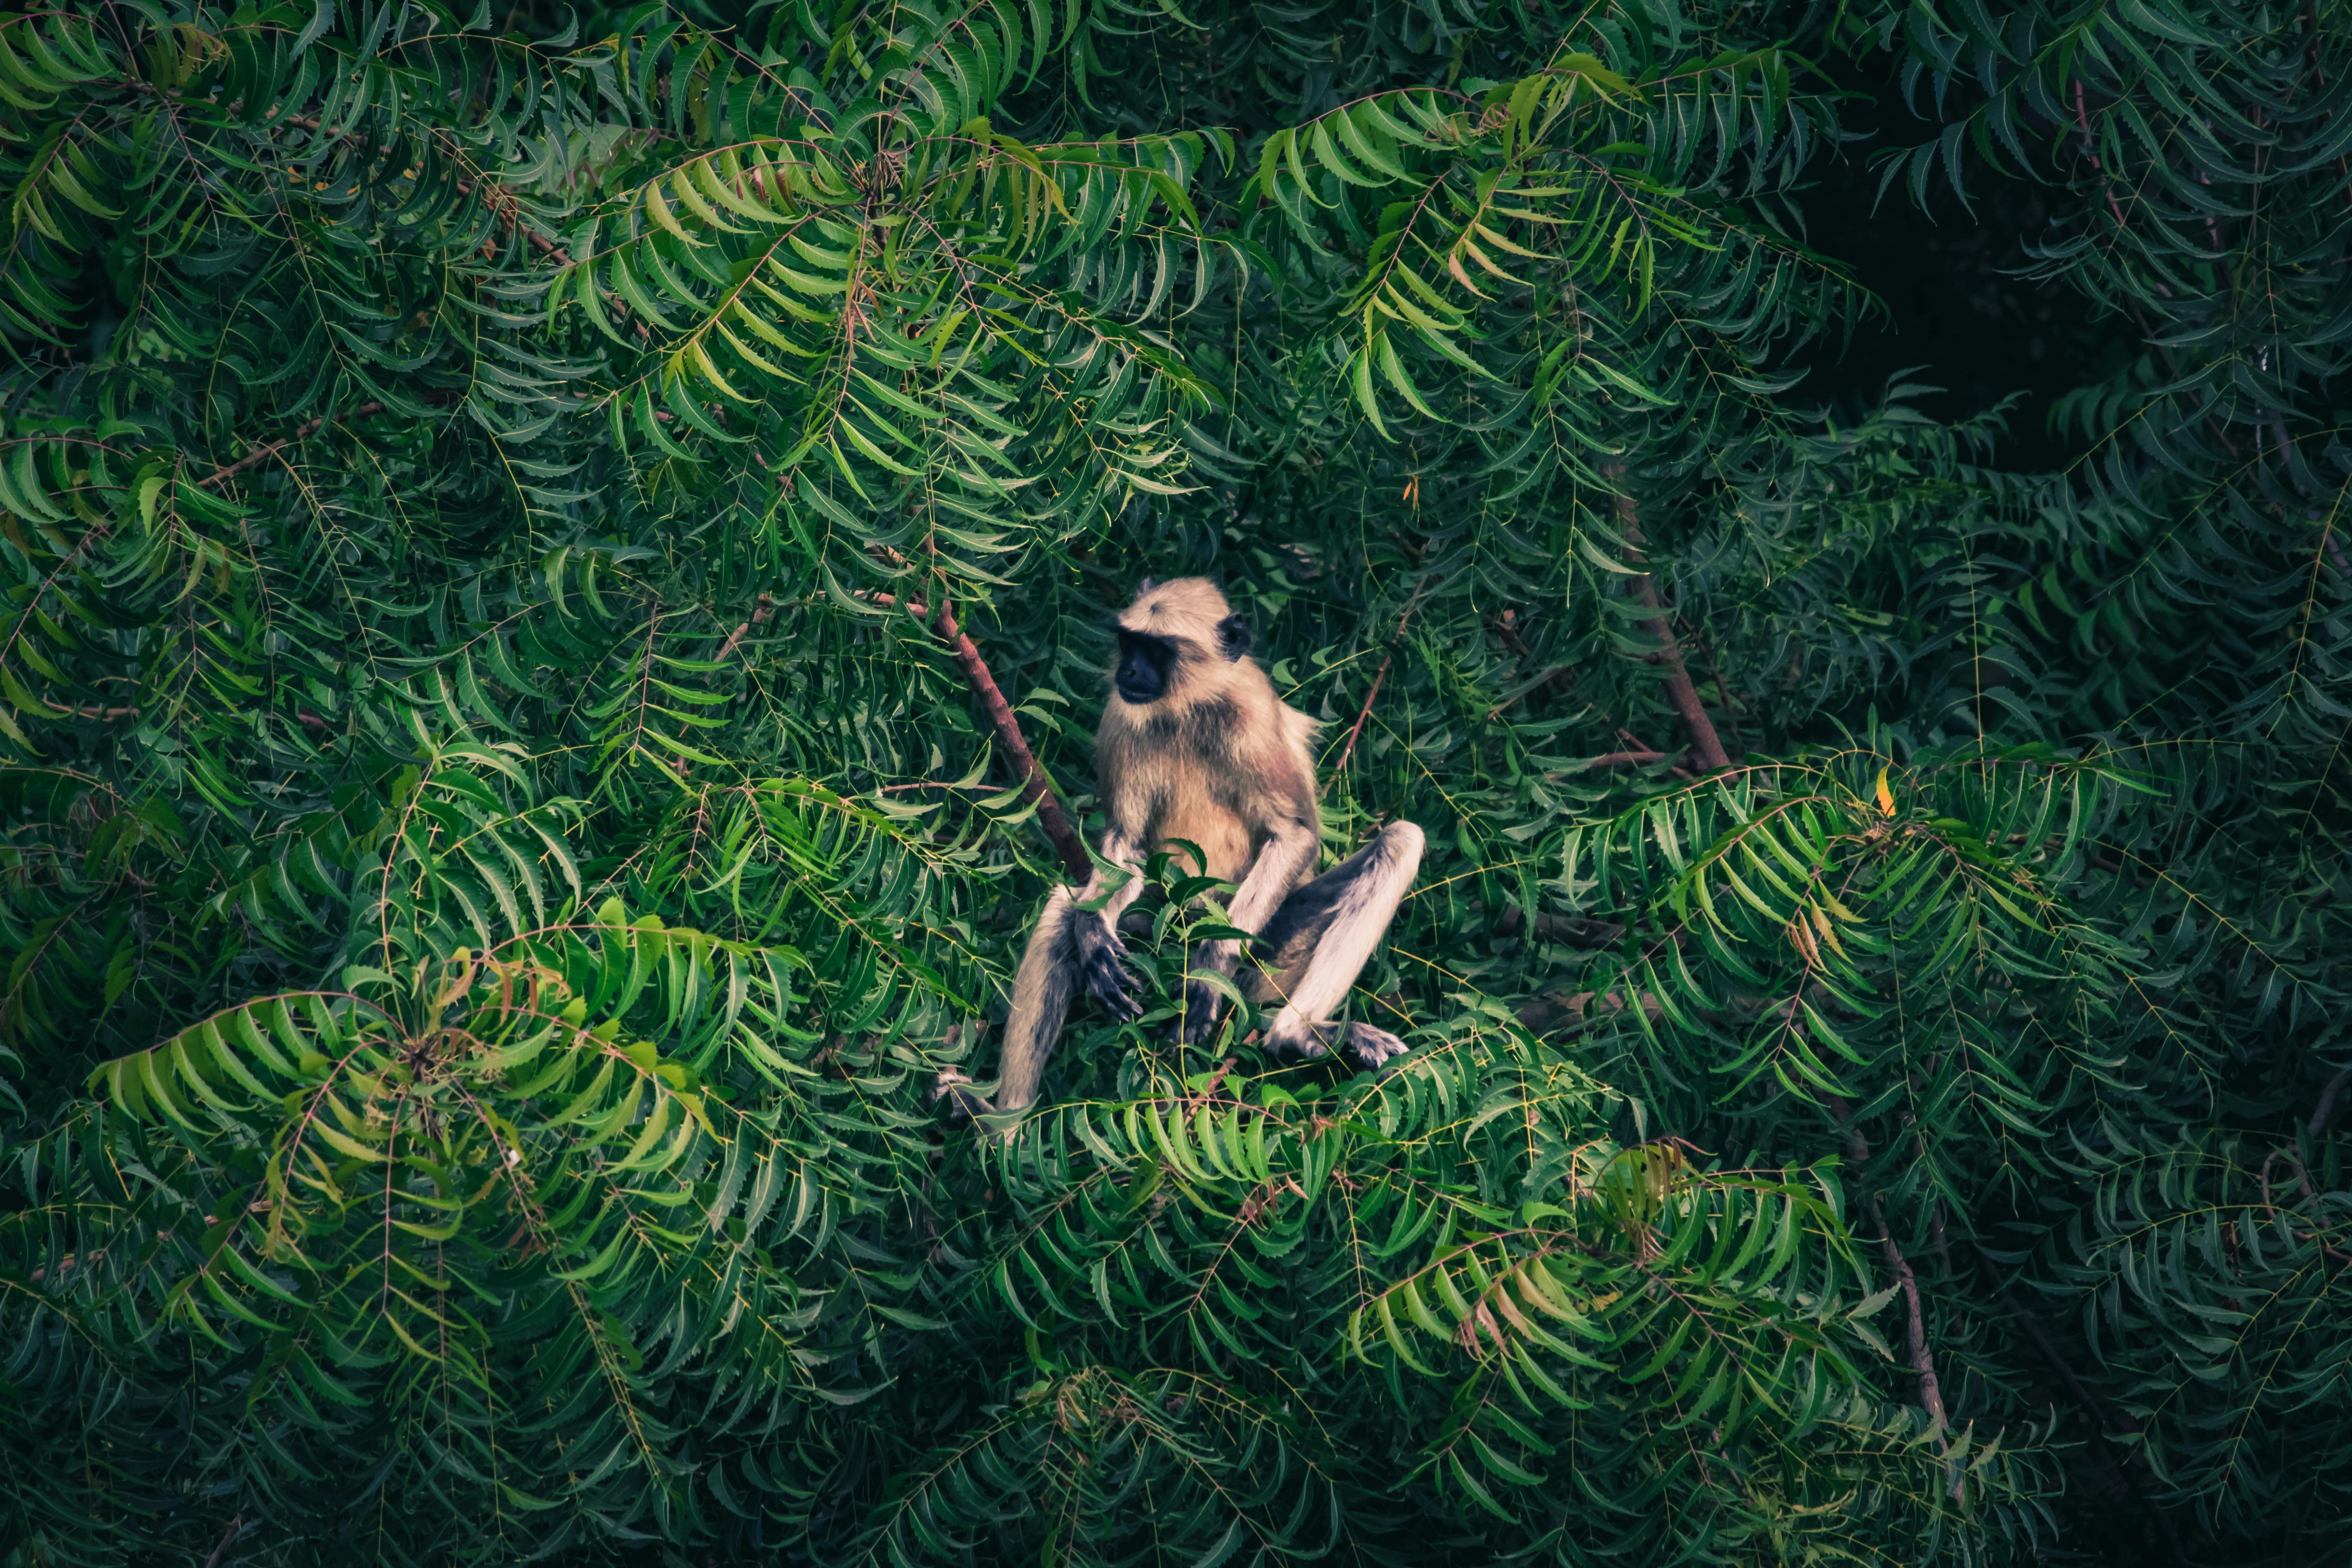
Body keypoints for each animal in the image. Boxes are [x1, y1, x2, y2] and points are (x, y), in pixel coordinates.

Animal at [941, 577, 1426, 1119]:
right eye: (1130, 644)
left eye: (1157, 651)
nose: (1130, 670)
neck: (1187, 708)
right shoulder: (1122, 710)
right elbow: (1126, 845)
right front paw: (1092, 936)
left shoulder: (1251, 714)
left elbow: (1295, 833)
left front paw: (1209, 972)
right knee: (1065, 906)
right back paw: (1003, 1122)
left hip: (1272, 950)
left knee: (1400, 841)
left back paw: (1297, 1035)